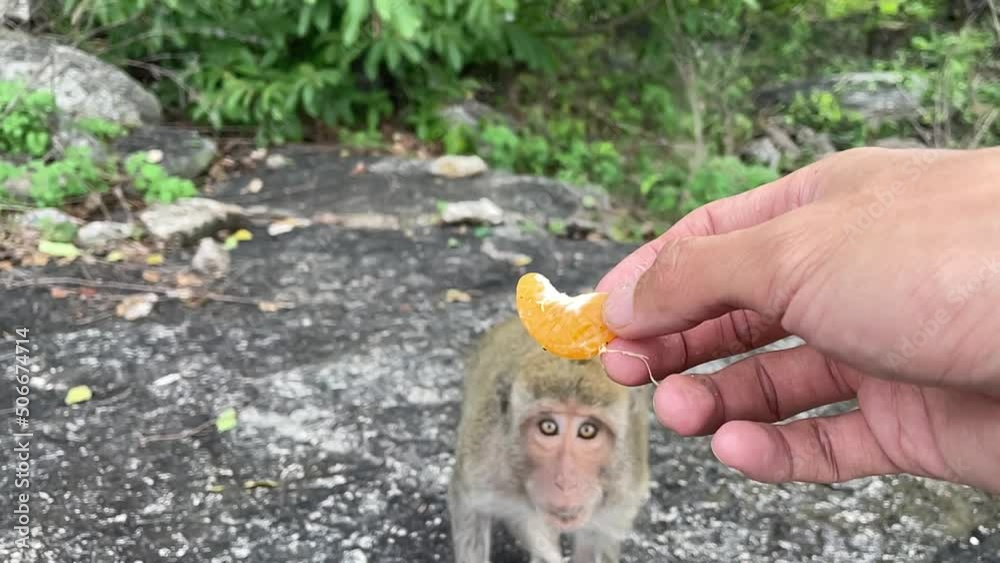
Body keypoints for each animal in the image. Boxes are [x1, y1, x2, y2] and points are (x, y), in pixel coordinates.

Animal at [448, 316, 650, 563]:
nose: (565, 481)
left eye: (587, 430)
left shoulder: (624, 490)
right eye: (548, 427)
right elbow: (468, 505)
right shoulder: (484, 462)